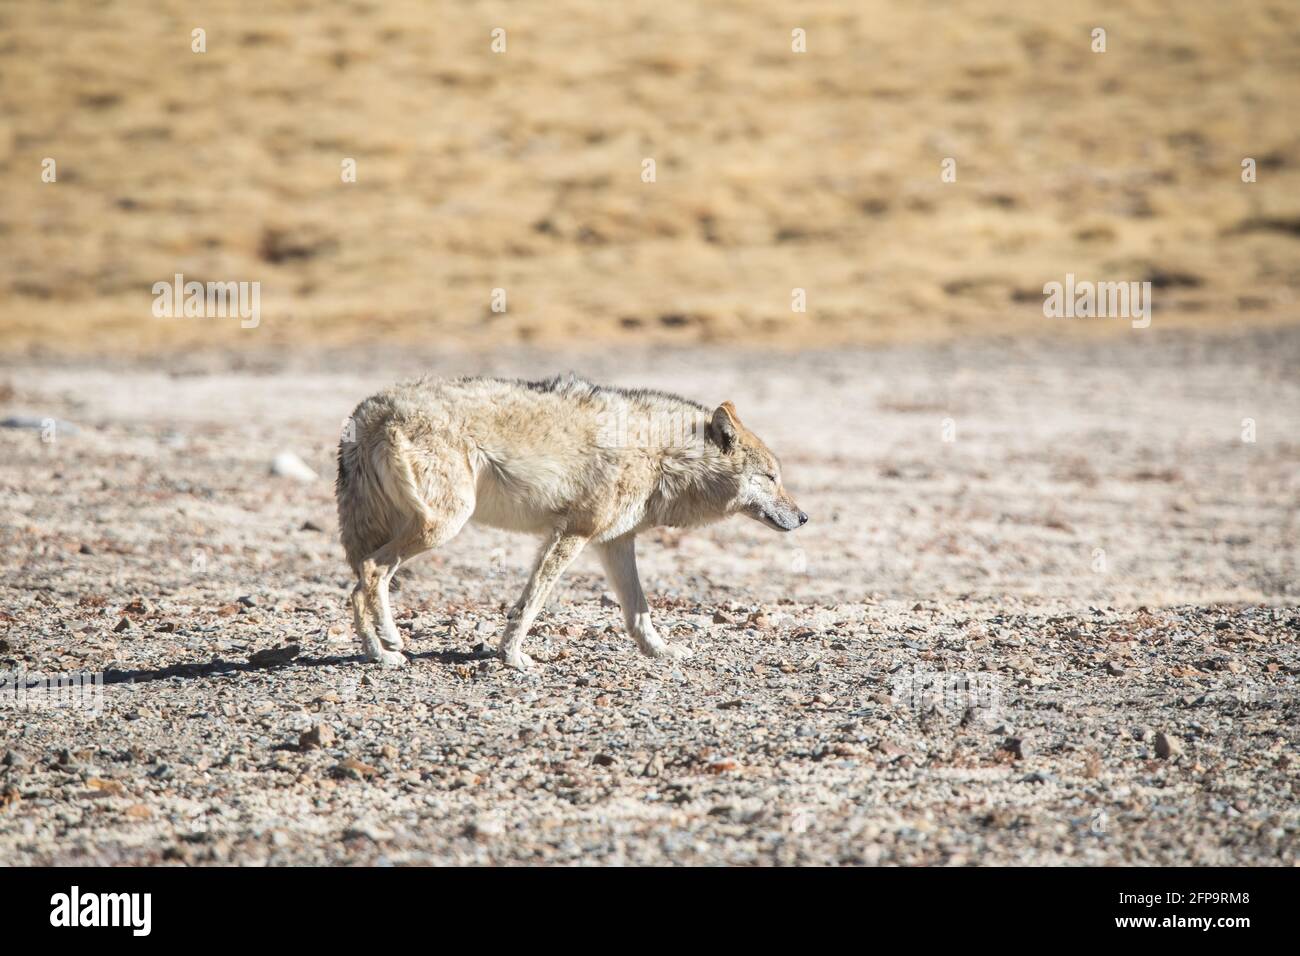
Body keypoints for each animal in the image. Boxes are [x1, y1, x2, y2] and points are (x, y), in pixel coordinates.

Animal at [336, 374, 807, 671]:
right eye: (771, 478)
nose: (804, 517)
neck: (659, 454)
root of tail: (367, 411)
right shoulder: (573, 534)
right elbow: (531, 602)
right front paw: (513, 658)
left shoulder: (614, 543)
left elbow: (638, 611)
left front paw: (662, 653)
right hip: (443, 525)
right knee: (369, 574)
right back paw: (386, 648)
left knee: (360, 580)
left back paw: (377, 650)